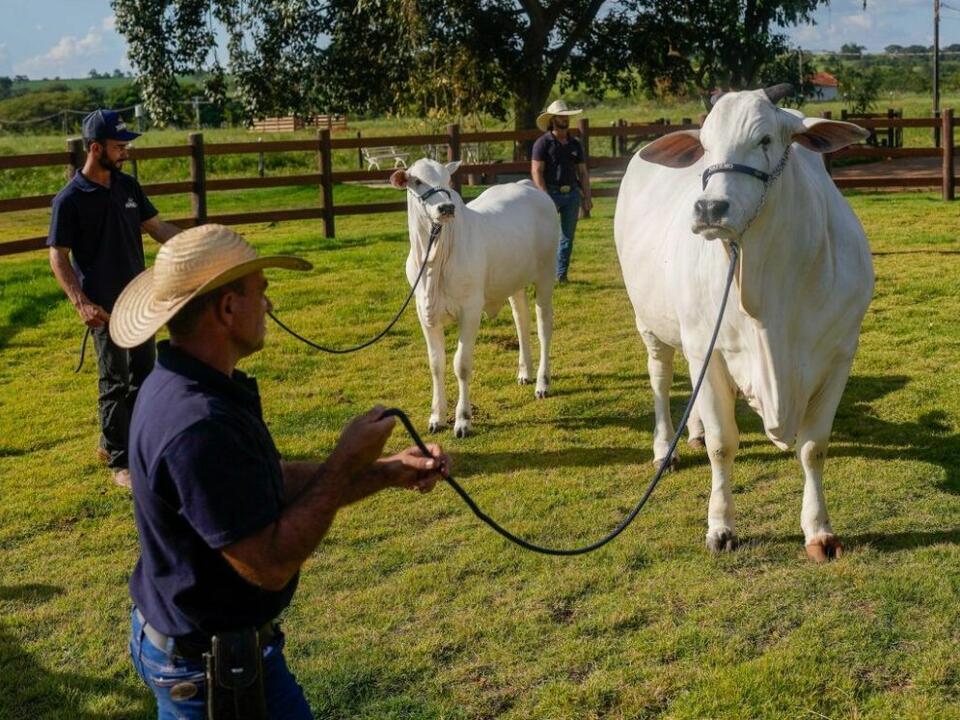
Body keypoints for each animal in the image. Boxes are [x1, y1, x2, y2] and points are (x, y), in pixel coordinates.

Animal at [391, 158, 560, 437]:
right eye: (416, 181)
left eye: (447, 179)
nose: (446, 207)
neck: (434, 261)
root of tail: (527, 185)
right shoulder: (424, 311)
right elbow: (436, 364)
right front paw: (436, 417)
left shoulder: (470, 310)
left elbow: (461, 364)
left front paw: (462, 420)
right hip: (513, 281)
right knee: (521, 321)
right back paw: (525, 371)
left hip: (545, 275)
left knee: (544, 326)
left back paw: (542, 383)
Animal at [614, 85, 874, 561]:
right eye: (704, 146)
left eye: (765, 139)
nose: (709, 208)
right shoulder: (710, 349)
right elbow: (723, 444)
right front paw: (721, 527)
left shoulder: (839, 354)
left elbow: (813, 447)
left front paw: (819, 531)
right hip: (651, 323)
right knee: (660, 378)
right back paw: (665, 448)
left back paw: (692, 432)